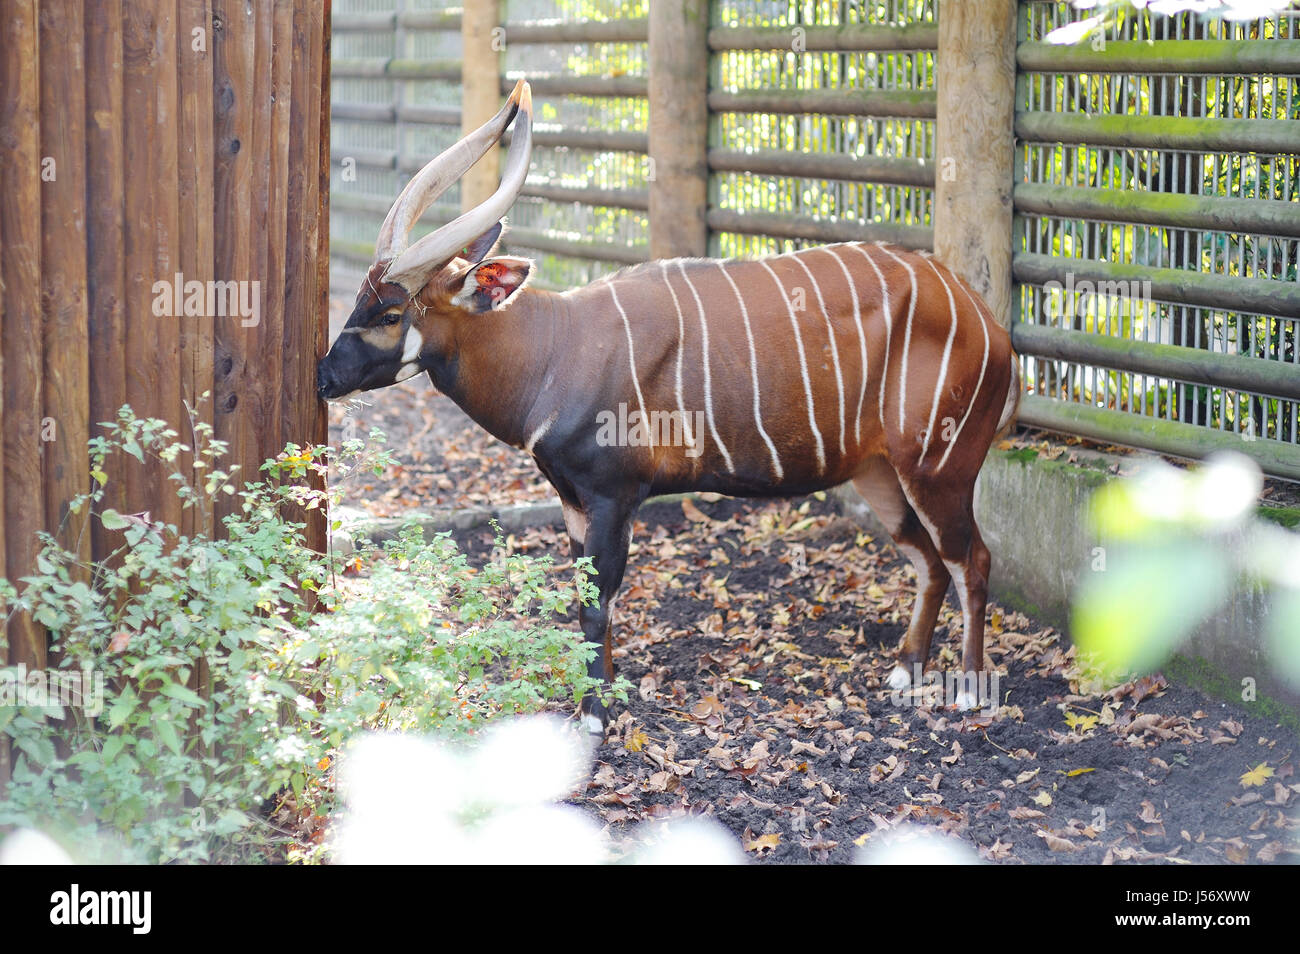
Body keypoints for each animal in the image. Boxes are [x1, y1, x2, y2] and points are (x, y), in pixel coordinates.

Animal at [317, 80, 1022, 734]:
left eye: (390, 313)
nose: (324, 378)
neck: (554, 346)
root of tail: (989, 322)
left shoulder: (613, 496)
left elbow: (598, 604)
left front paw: (594, 716)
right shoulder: (574, 502)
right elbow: (586, 601)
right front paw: (598, 700)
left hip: (939, 467)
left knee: (972, 559)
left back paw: (968, 689)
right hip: (878, 472)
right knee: (927, 558)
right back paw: (906, 668)